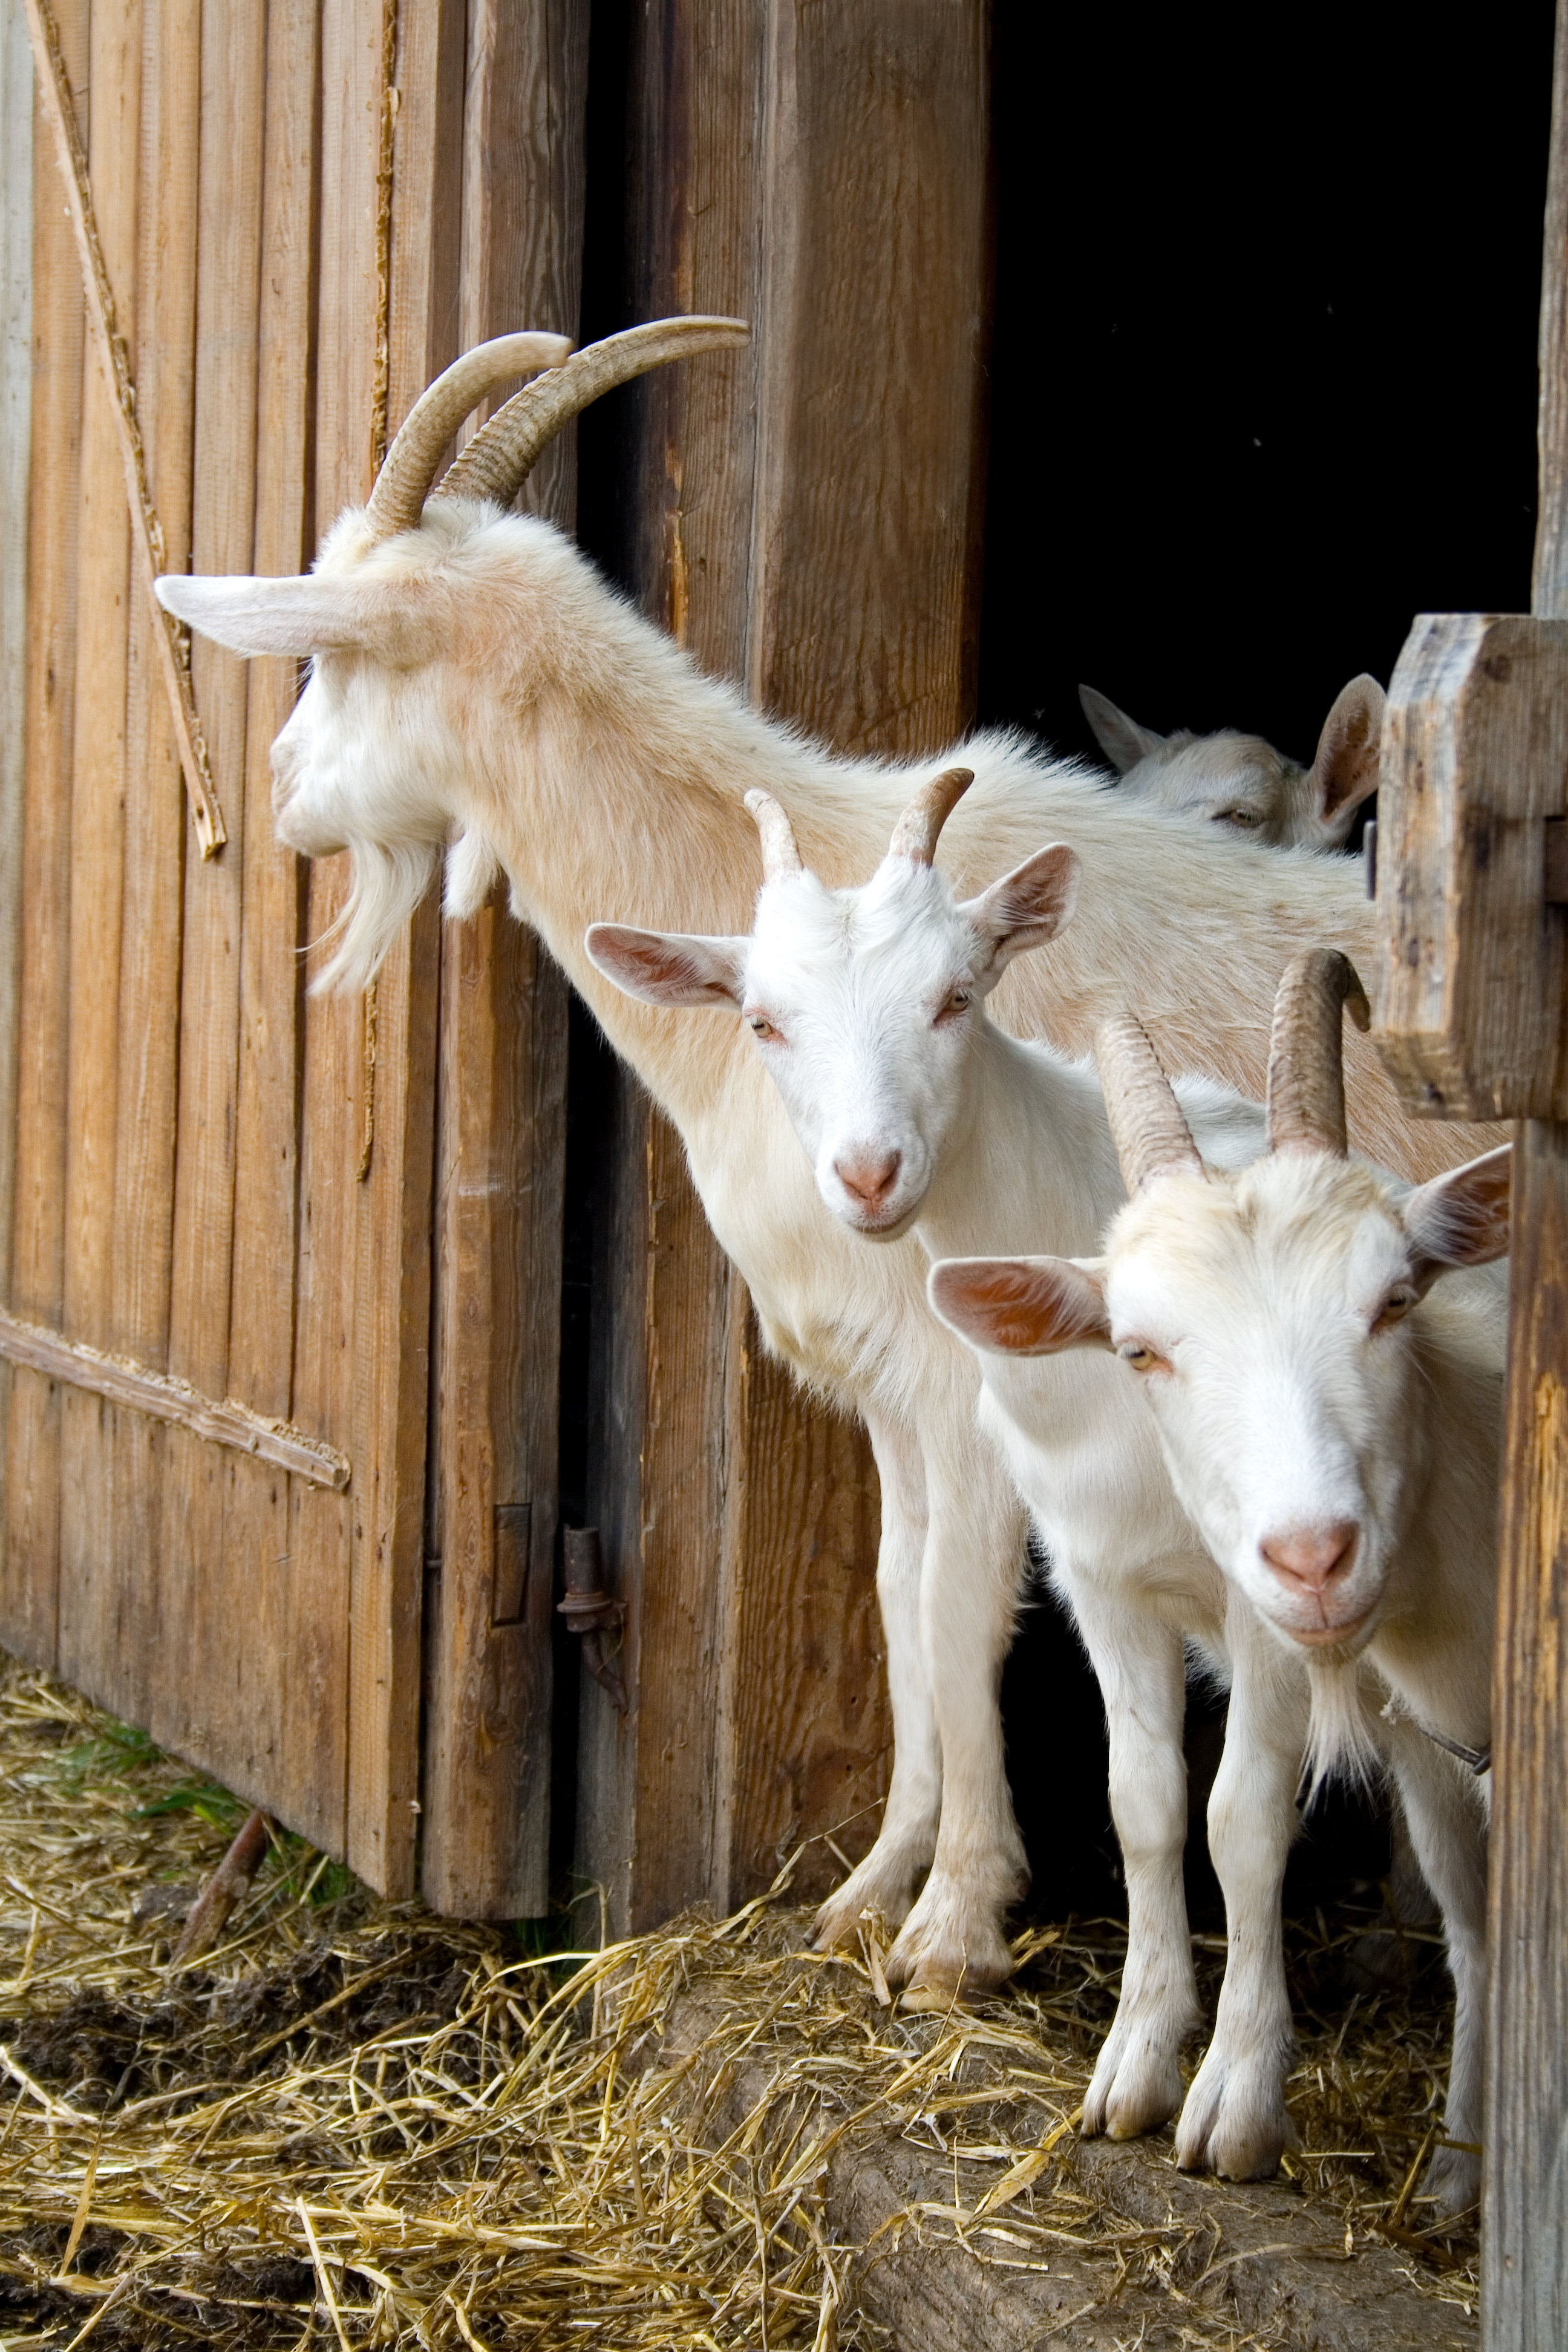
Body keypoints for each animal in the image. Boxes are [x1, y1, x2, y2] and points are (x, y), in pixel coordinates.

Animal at [930, 951, 1507, 2215]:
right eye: (1139, 1347)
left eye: (1394, 1298)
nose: (1314, 1551)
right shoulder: (1106, 1588)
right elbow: (1142, 1800)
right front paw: (1136, 2065)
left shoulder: (1264, 1619)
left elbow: (1241, 1816)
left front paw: (1234, 2100)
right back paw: (1457, 2173)